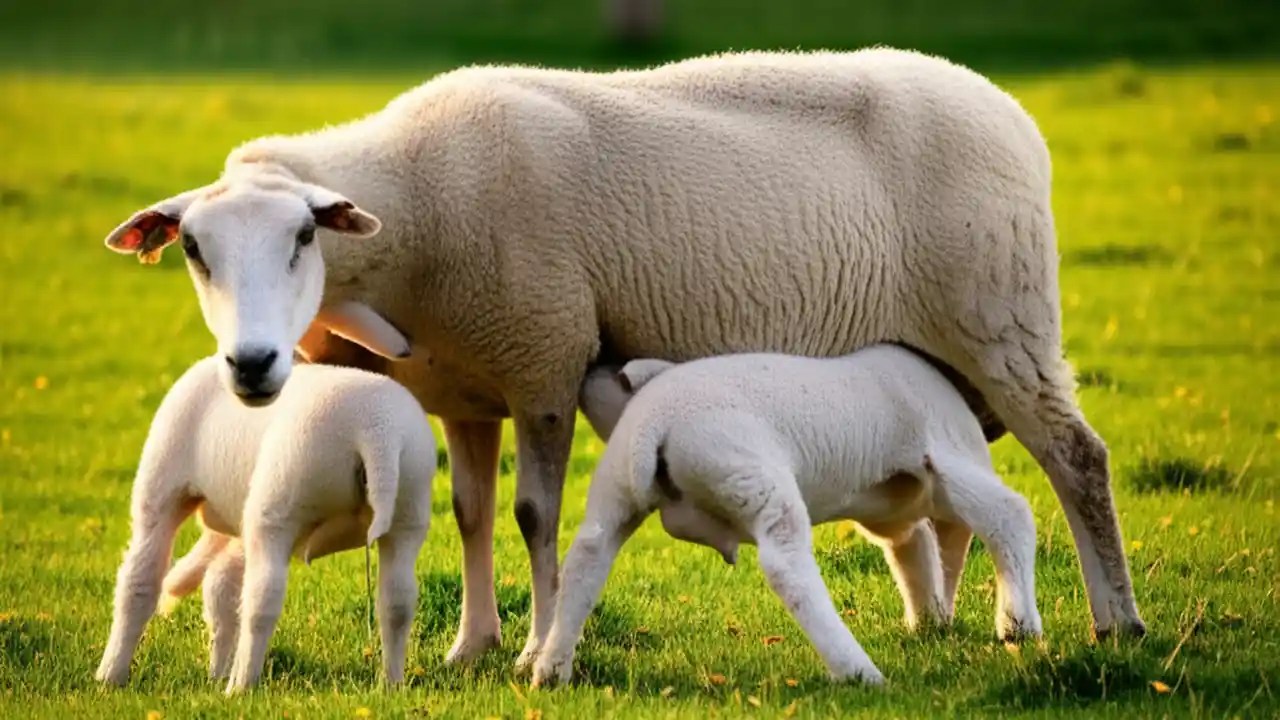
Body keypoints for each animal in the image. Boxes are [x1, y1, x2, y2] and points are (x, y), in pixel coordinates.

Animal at [94, 356, 436, 693]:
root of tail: (378, 432)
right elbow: (222, 589)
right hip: (408, 511)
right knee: (397, 600)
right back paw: (391, 684)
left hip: (263, 502)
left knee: (241, 594)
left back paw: (231, 684)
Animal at [532, 345, 1043, 686]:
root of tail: (655, 421)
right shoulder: (945, 448)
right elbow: (1006, 517)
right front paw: (1016, 624)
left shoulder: (891, 496)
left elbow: (911, 544)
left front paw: (929, 621)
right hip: (753, 475)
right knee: (787, 567)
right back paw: (856, 668)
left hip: (617, 480)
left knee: (587, 555)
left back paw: (551, 668)